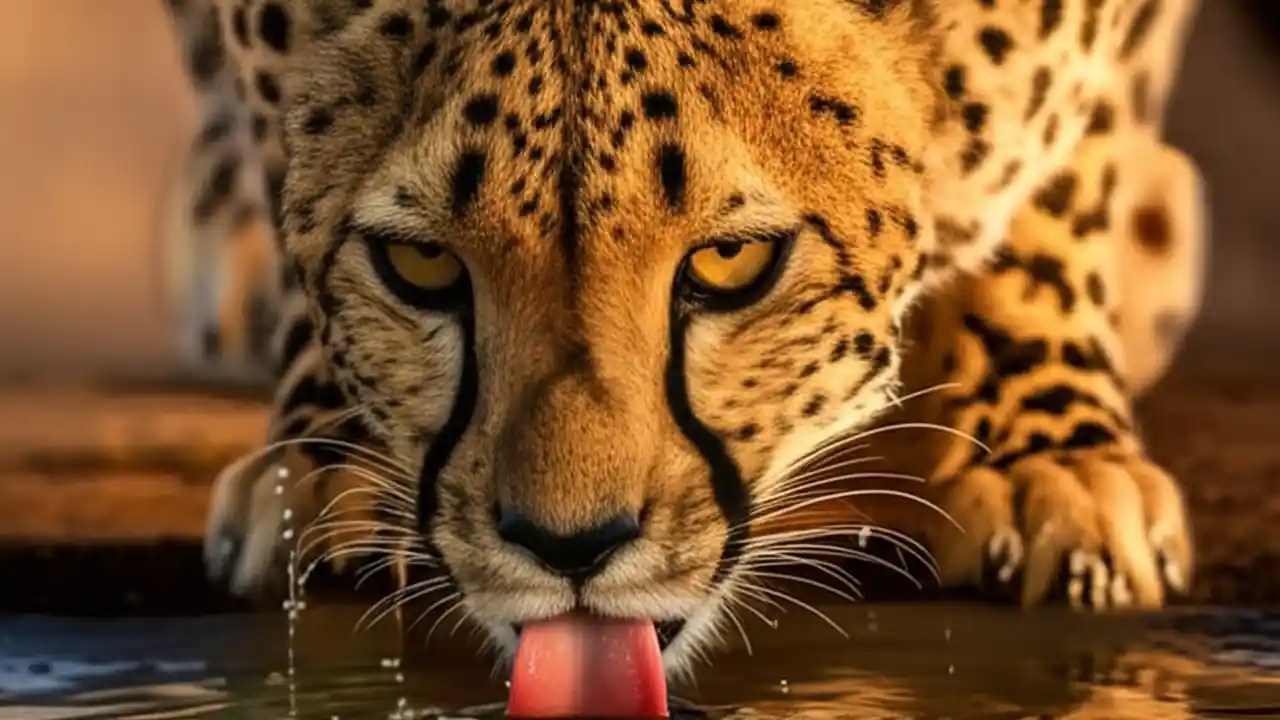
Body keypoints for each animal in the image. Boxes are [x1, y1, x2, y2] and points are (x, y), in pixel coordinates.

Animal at [162, 0, 1209, 681]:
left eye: (731, 261)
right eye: (420, 264)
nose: (570, 550)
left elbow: (1059, 175)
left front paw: (1047, 455)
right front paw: (332, 459)